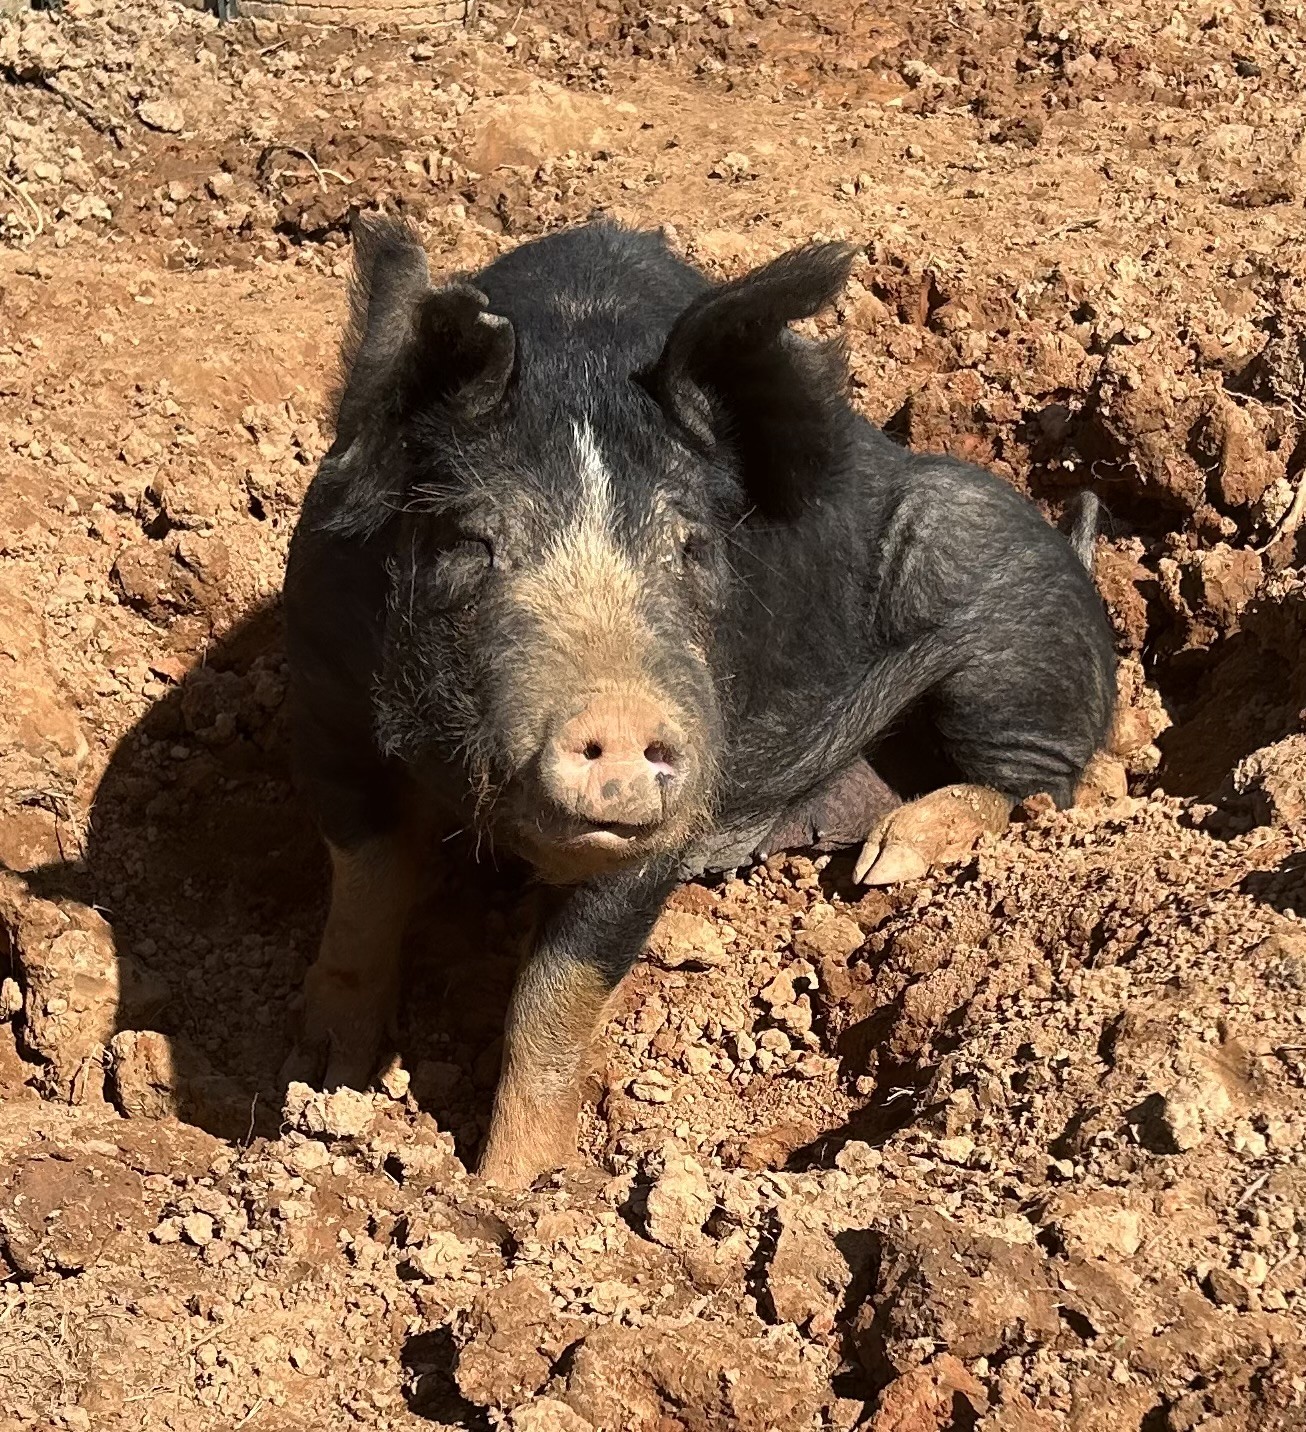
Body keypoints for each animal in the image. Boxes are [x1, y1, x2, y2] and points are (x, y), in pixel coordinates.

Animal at [281, 215, 1116, 1187]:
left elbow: (554, 998)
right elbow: (367, 883)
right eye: (471, 541)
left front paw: (514, 1188)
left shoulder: (670, 819)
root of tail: (1076, 561)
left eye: (693, 546)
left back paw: (885, 860)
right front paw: (320, 1075)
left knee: (1039, 788)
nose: (619, 715)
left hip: (1008, 640)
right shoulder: (323, 693)